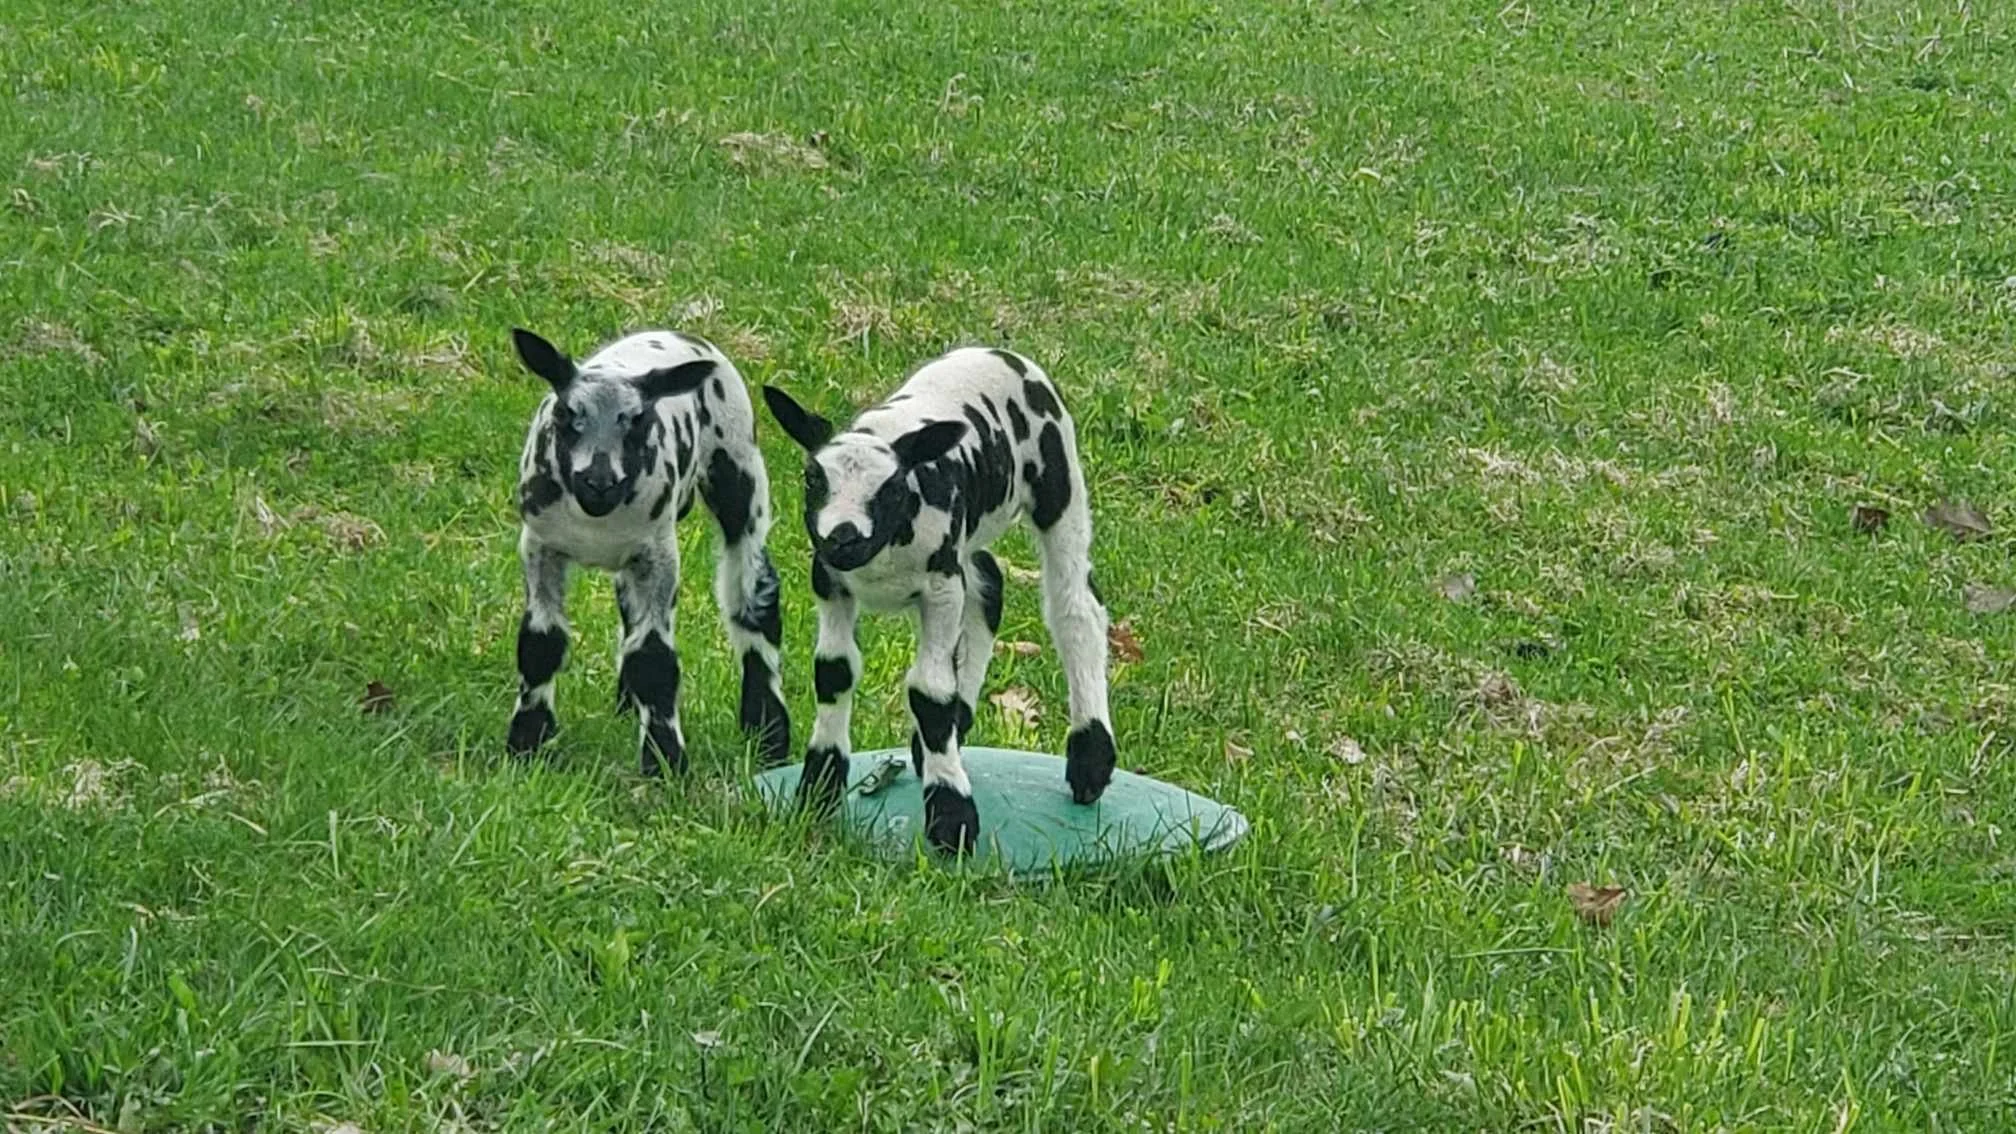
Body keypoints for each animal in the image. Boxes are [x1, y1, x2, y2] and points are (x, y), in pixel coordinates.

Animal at [506, 326, 790, 775]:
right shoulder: (540, 546)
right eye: (567, 415)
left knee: (753, 596)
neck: (594, 521)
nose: (599, 482)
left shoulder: (658, 553)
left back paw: (768, 731)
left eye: (638, 421)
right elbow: (540, 643)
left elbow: (653, 659)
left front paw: (664, 761)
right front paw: (526, 743)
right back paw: (626, 705)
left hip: (739, 468)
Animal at [761, 346, 1116, 853]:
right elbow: (834, 672)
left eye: (889, 487)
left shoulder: (941, 588)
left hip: (1058, 482)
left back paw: (1090, 760)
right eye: (812, 479)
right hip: (965, 543)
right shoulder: (830, 580)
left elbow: (929, 692)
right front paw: (819, 788)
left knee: (1075, 608)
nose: (842, 538)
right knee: (989, 584)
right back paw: (953, 727)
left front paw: (952, 816)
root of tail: (997, 351)